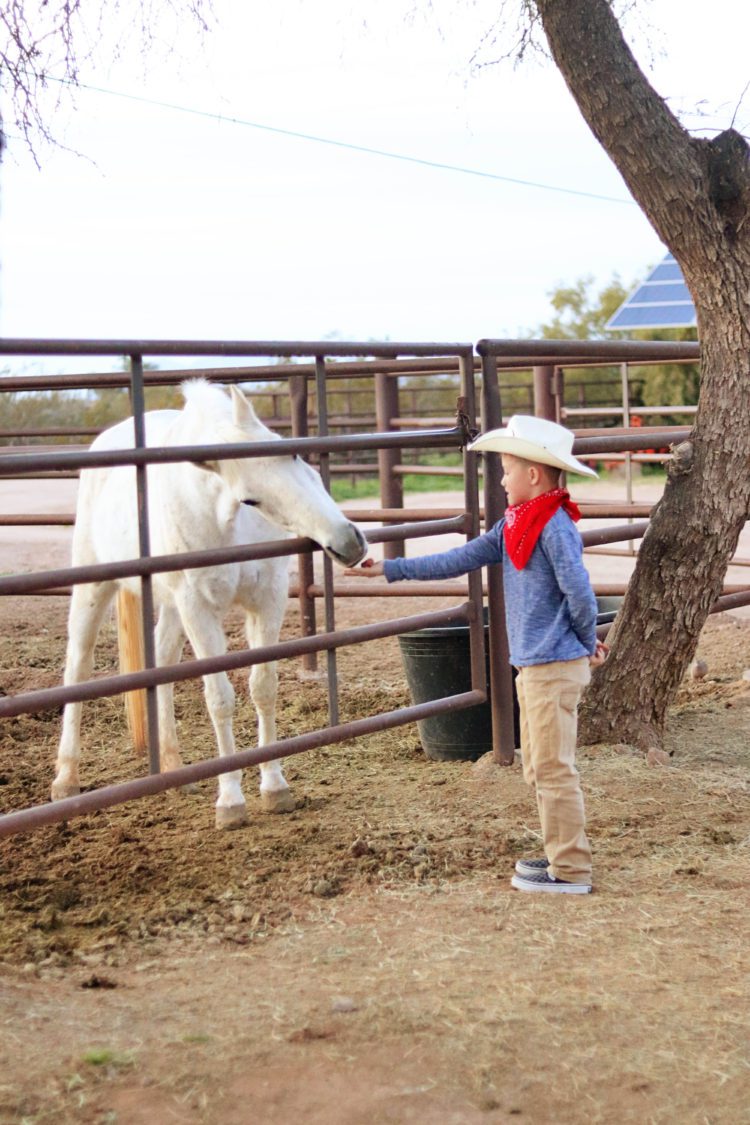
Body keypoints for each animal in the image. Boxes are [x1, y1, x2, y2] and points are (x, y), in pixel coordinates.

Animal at [52, 379, 367, 829]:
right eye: (250, 499)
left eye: (289, 452)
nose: (348, 543)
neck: (227, 522)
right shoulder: (200, 609)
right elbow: (219, 699)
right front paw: (231, 801)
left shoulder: (267, 601)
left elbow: (263, 688)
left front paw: (275, 787)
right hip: (96, 586)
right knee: (78, 667)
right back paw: (66, 778)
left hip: (170, 606)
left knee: (163, 665)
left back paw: (174, 768)